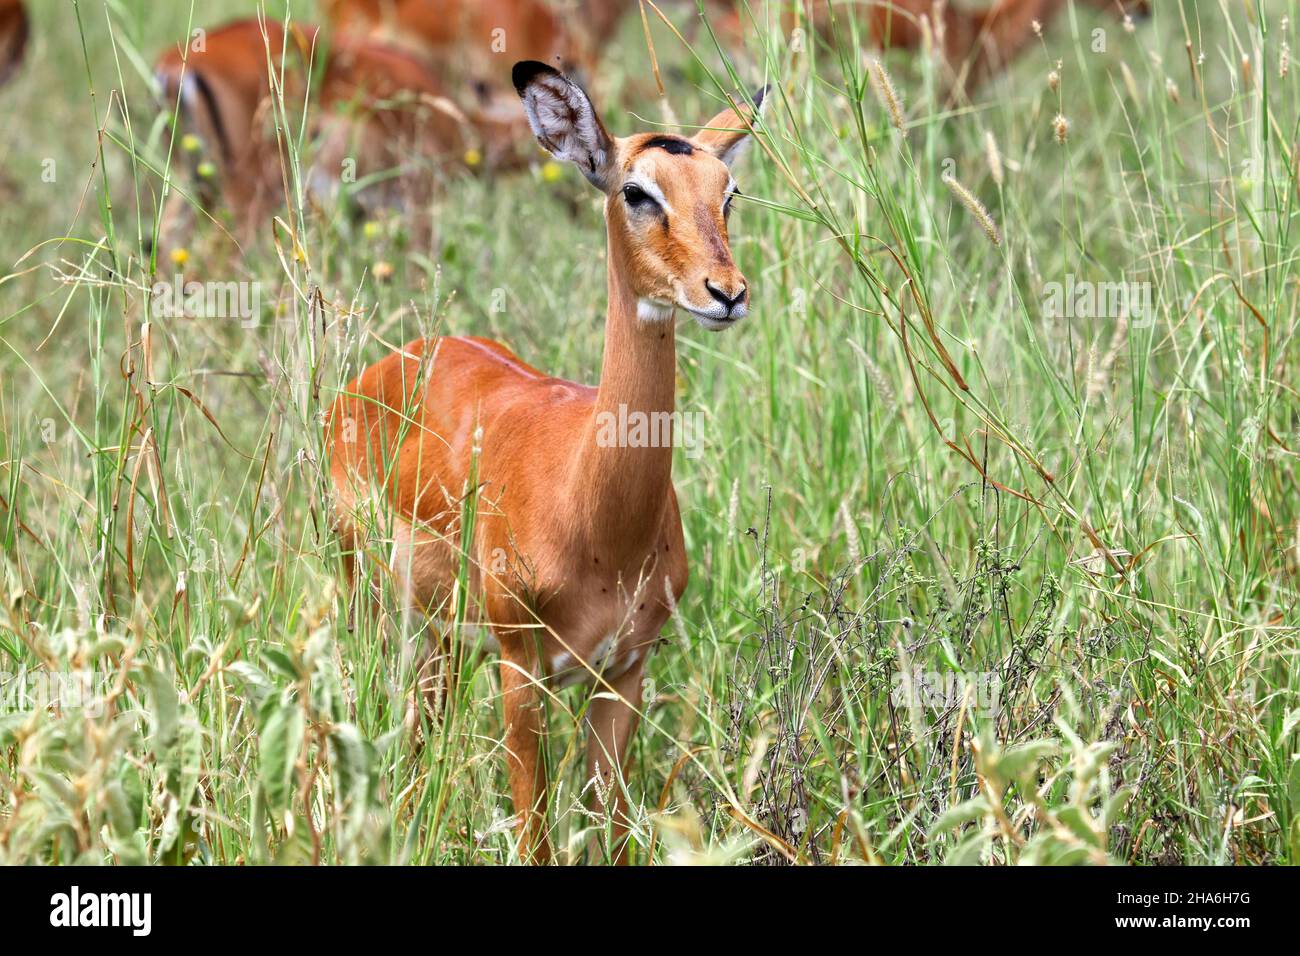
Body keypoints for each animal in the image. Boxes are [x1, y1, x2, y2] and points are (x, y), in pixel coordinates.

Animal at [325, 61, 762, 863]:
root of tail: (379, 370)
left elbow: (613, 832)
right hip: (382, 614)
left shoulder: (623, 672)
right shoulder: (521, 671)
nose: (726, 293)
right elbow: (533, 836)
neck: (599, 521)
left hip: (443, 644)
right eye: (636, 190)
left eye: (728, 190)